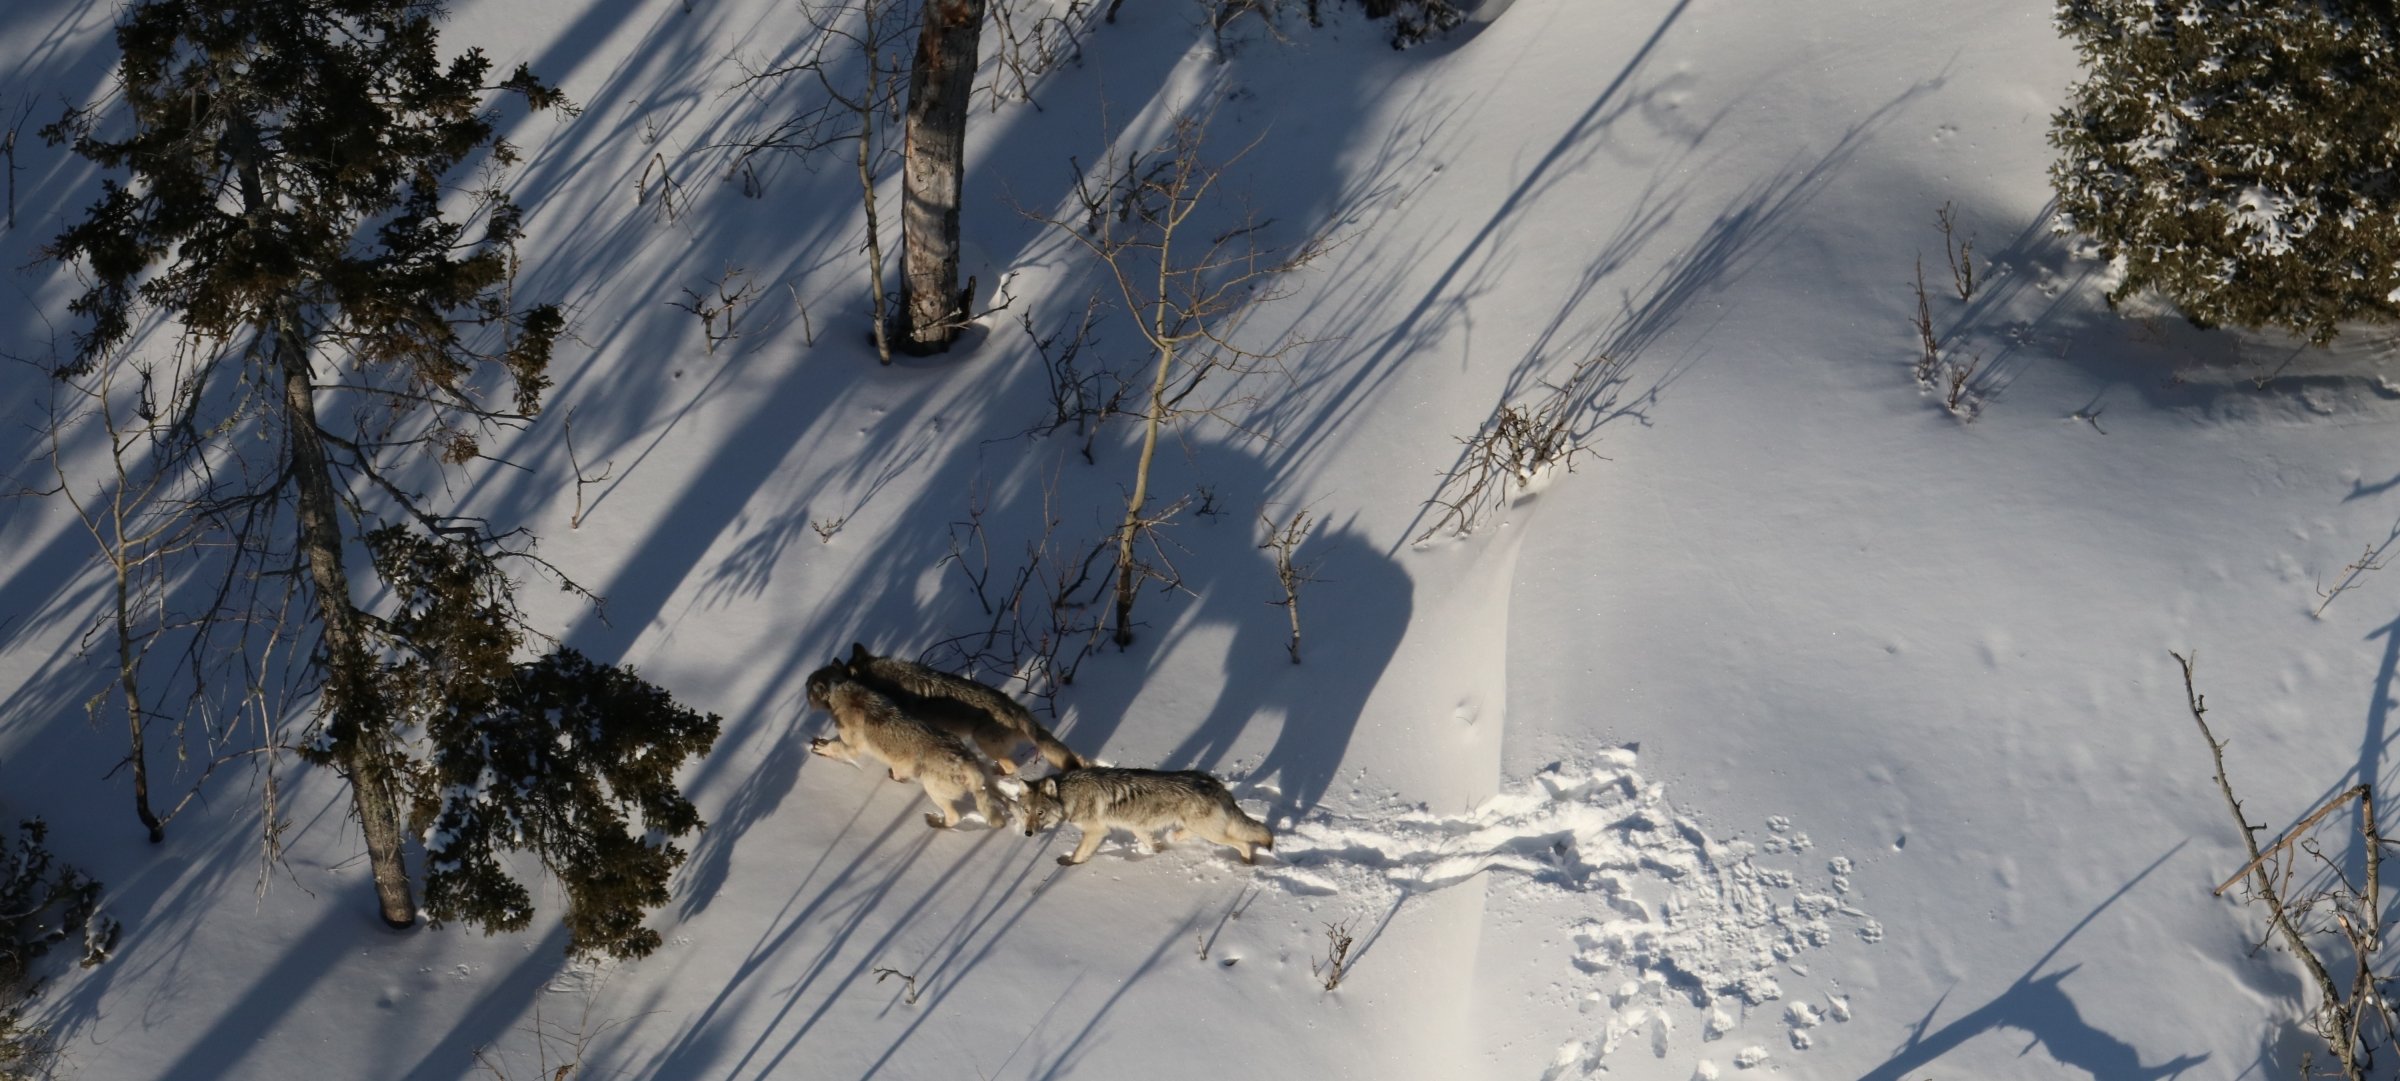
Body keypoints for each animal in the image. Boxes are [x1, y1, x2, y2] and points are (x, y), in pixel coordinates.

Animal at [805, 664, 1007, 829]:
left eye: (807, 685)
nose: (804, 691)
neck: (836, 688)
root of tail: (968, 763)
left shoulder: (851, 747)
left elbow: (833, 747)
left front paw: (819, 748)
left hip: (932, 788)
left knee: (954, 817)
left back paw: (936, 822)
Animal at [1019, 766, 1275, 866]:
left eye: (1040, 812)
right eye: (1026, 811)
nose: (1027, 833)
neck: (1069, 795)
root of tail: (1214, 783)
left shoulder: (1096, 831)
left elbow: (1079, 853)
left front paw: (1070, 863)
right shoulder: (1135, 826)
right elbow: (1150, 842)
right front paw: (1157, 852)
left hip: (1211, 832)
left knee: (1244, 842)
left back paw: (1247, 861)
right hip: (1198, 826)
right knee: (1184, 833)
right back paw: (1173, 838)